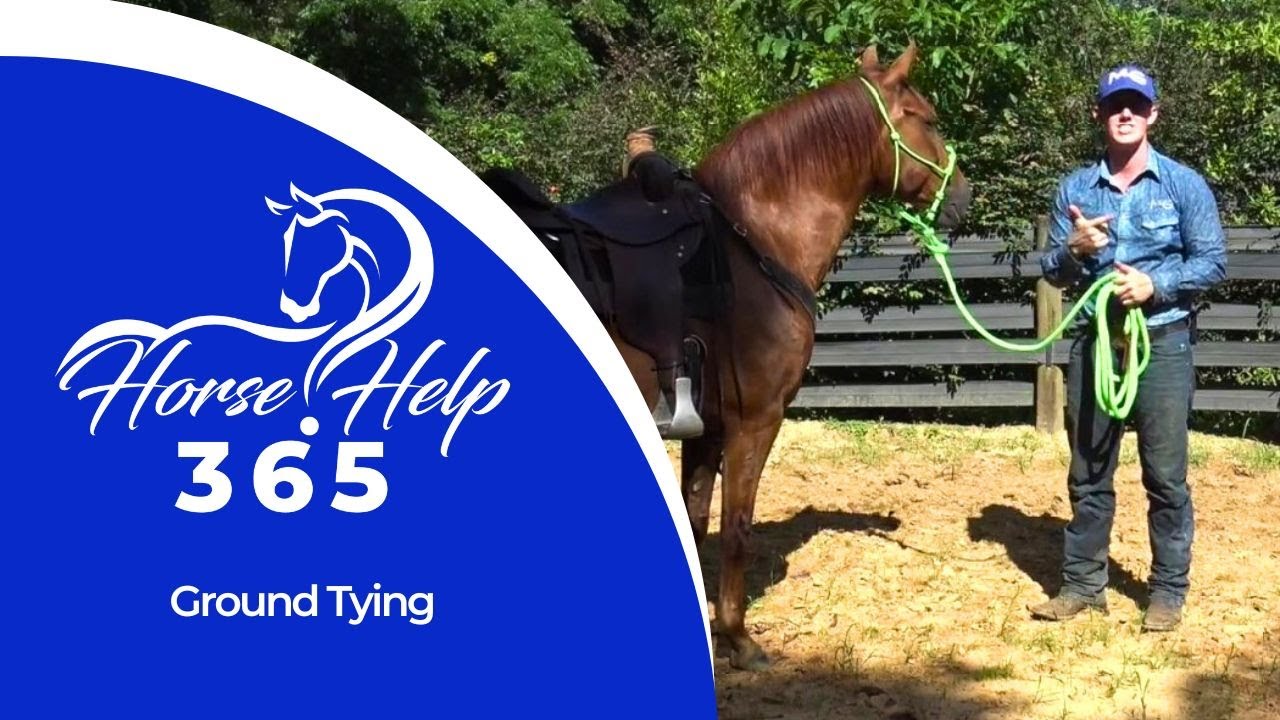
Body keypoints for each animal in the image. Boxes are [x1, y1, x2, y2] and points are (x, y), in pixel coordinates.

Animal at [606, 43, 972, 670]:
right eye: (926, 118)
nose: (965, 197)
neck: (754, 249)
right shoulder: (755, 421)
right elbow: (736, 527)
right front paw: (737, 638)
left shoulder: (707, 427)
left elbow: (696, 518)